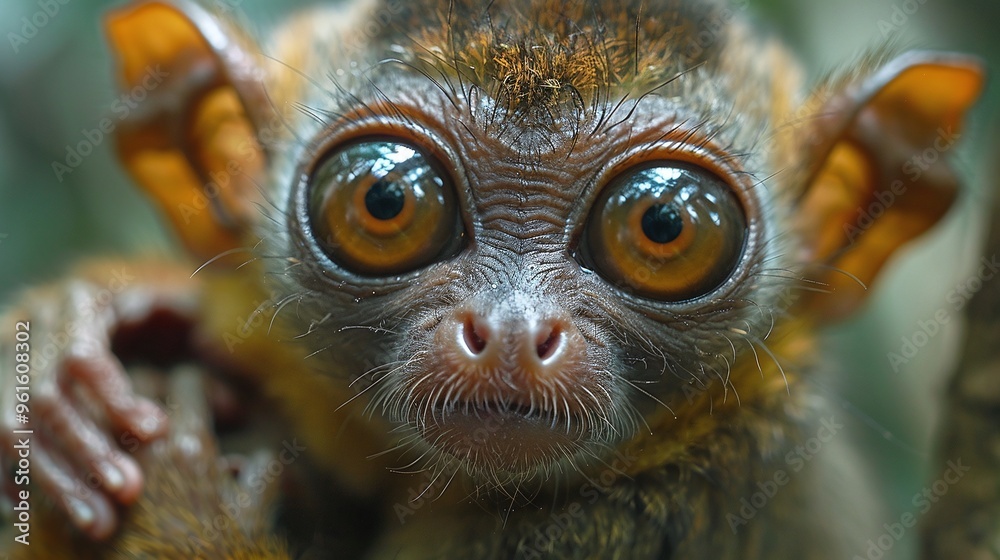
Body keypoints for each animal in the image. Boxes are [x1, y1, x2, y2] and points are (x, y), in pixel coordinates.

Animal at [0, 0, 985, 558]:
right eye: (385, 201)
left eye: (664, 227)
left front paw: (179, 499)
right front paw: (83, 339)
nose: (511, 332)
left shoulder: (657, 514)